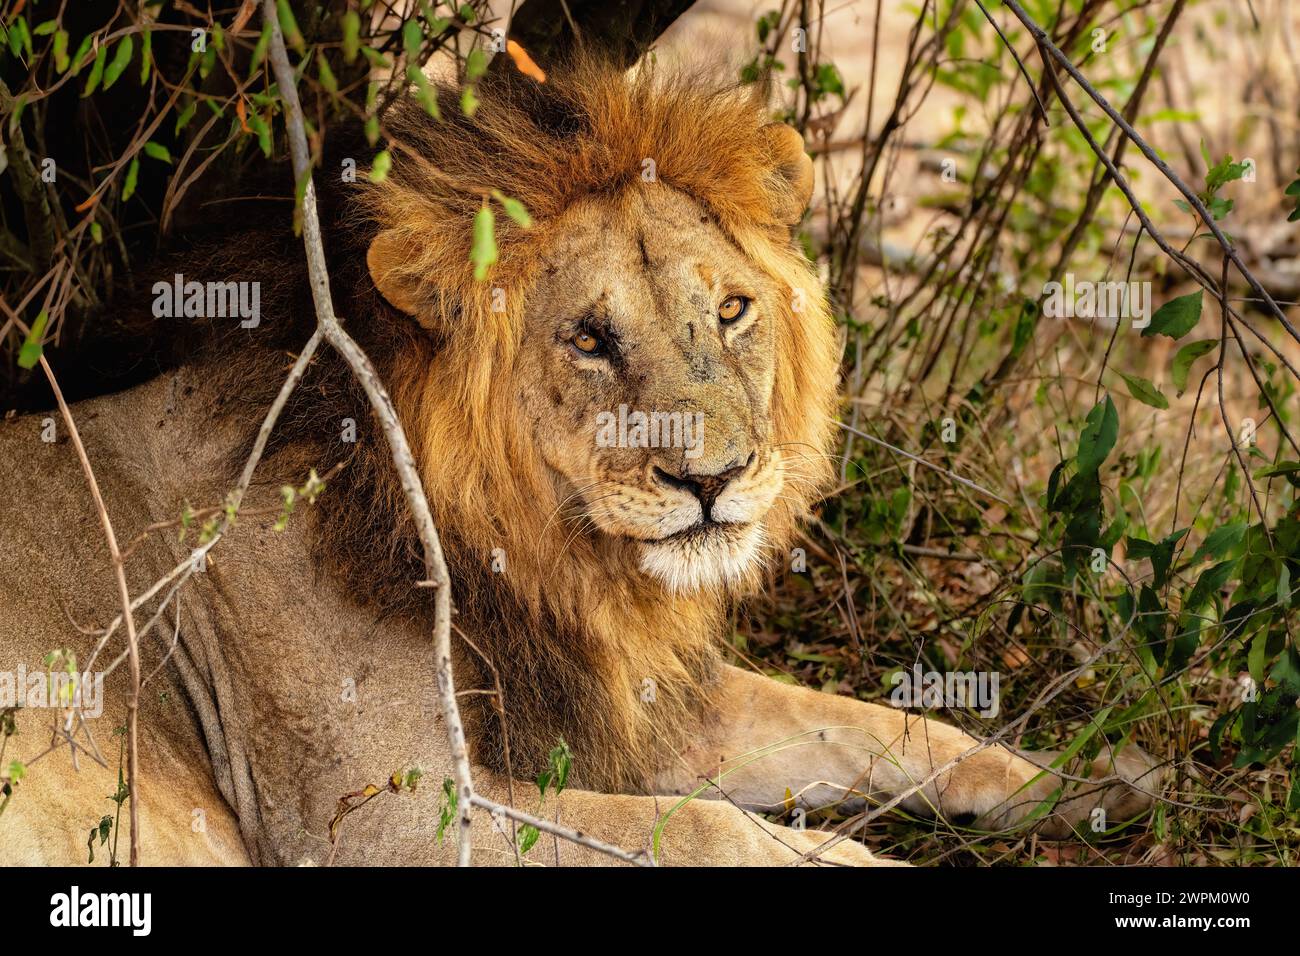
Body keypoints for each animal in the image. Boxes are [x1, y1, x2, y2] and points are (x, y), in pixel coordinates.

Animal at [0, 57, 1160, 866]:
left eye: (731, 309)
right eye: (590, 340)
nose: (712, 480)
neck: (542, 556)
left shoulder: (626, 702)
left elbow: (873, 724)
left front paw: (1083, 784)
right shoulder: (385, 813)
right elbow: (702, 830)